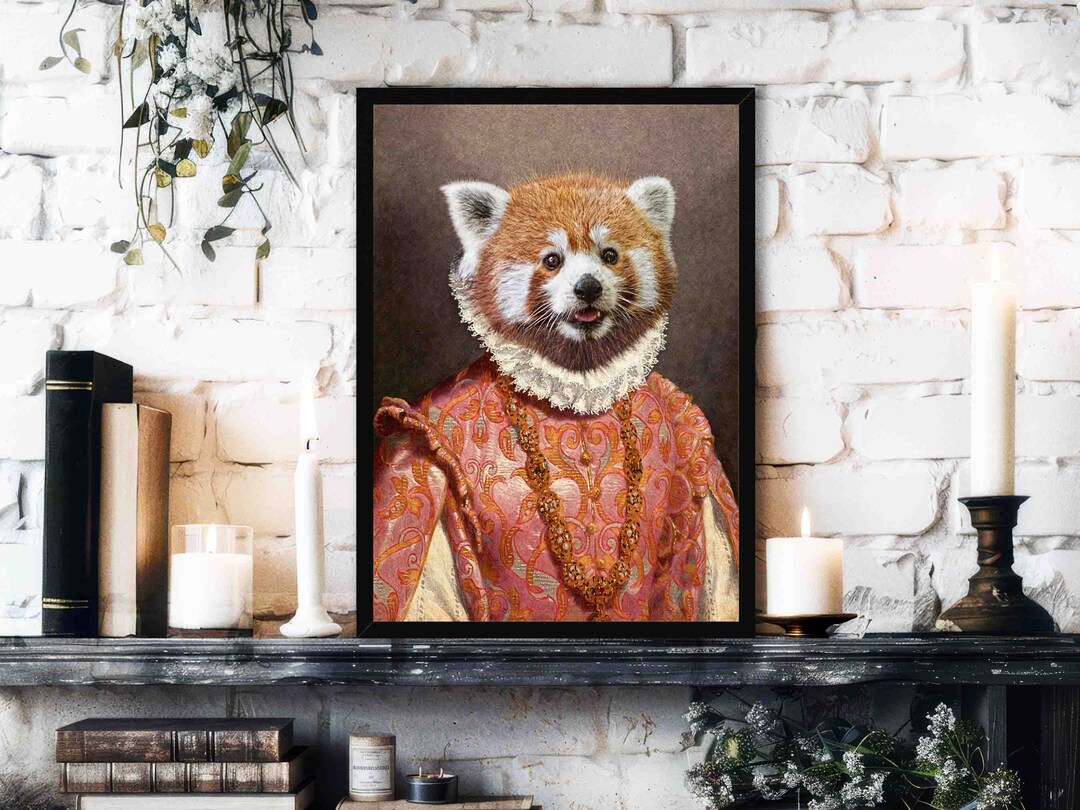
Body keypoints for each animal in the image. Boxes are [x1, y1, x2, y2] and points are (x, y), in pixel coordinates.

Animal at [373, 172, 739, 623]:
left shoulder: (693, 438)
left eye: (610, 255)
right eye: (552, 260)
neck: (577, 394)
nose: (588, 287)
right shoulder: (418, 446)